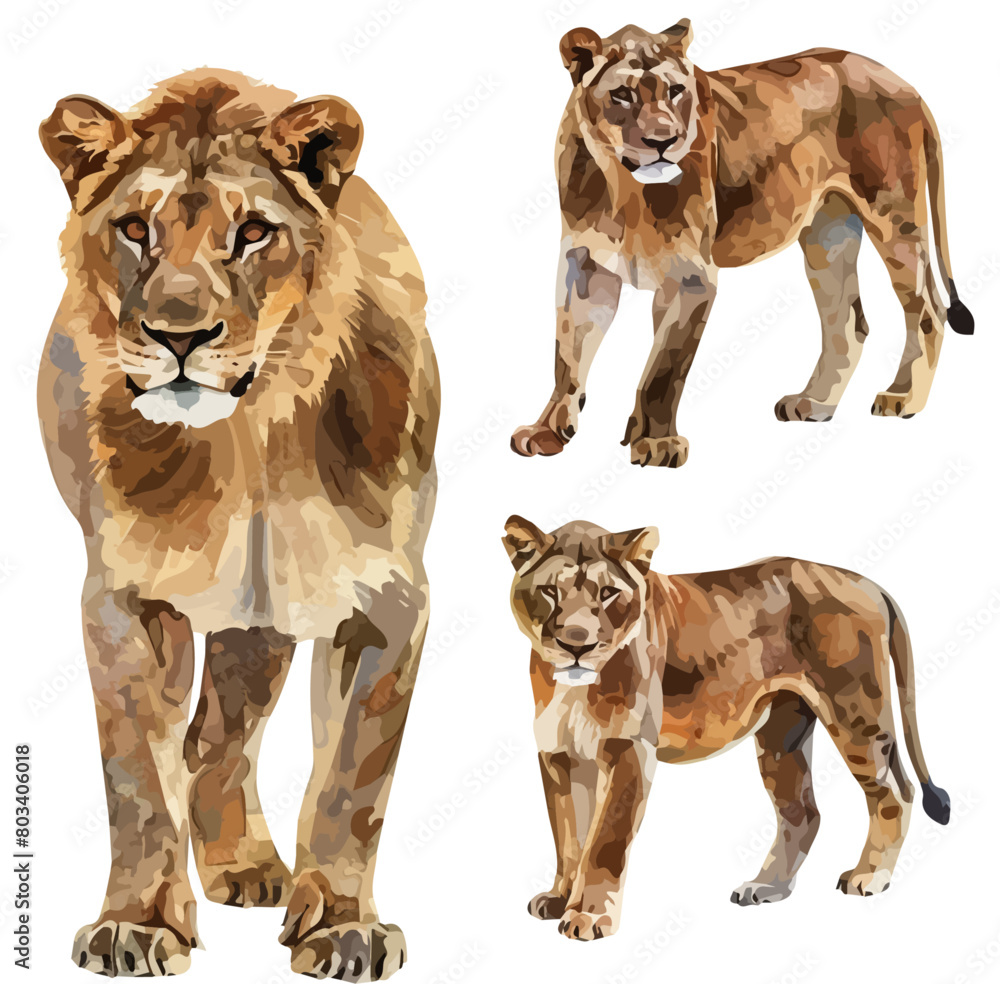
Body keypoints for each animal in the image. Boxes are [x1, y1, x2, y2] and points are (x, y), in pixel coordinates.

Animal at [38, 69, 438, 979]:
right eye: (135, 228)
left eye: (253, 233)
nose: (178, 337)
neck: (248, 439)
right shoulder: (121, 599)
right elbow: (137, 779)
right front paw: (137, 925)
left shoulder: (389, 600)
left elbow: (354, 783)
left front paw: (343, 929)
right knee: (199, 744)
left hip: (262, 621)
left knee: (216, 741)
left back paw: (250, 869)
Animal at [503, 516, 950, 940]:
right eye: (550, 591)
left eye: (608, 593)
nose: (576, 644)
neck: (573, 685)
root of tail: (869, 583)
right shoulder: (560, 754)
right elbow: (568, 837)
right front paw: (560, 900)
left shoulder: (629, 749)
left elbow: (603, 843)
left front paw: (590, 917)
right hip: (782, 734)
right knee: (803, 811)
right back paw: (767, 887)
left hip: (856, 715)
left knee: (895, 792)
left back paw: (869, 877)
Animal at [511, 20, 974, 468]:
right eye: (622, 95)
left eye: (676, 91)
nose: (664, 141)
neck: (620, 184)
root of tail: (903, 82)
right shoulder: (585, 266)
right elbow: (567, 356)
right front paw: (547, 431)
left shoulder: (691, 276)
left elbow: (663, 370)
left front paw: (657, 444)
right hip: (828, 233)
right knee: (847, 319)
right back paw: (814, 404)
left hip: (895, 217)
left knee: (927, 308)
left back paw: (903, 398)